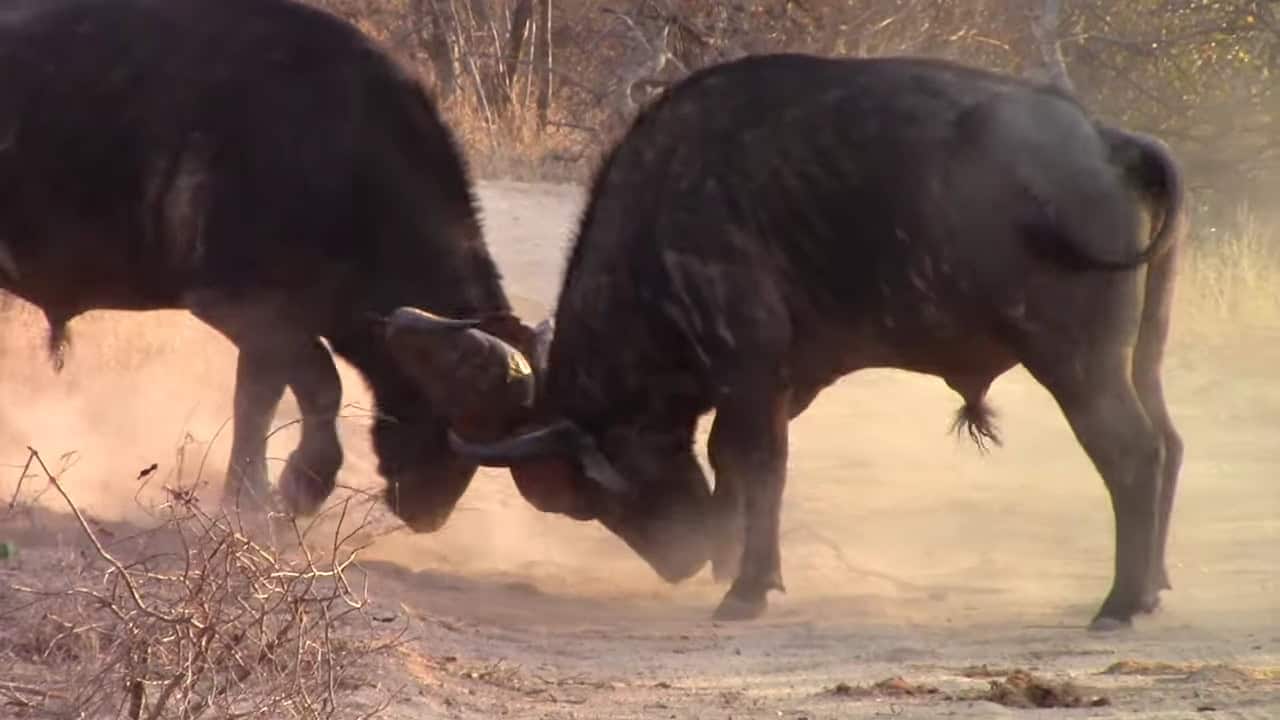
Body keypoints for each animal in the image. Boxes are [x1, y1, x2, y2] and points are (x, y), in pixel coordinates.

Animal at [0, 0, 535, 531]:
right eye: (450, 410)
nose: (430, 510)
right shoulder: (242, 308)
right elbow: (318, 385)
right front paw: (300, 484)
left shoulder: (271, 327)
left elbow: (258, 400)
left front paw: (248, 494)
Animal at [384, 53, 1186, 632]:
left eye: (585, 500)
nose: (678, 562)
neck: (665, 216)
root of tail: (1109, 143)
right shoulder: (788, 379)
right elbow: (729, 459)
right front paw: (729, 558)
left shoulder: (750, 369)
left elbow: (762, 466)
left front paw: (744, 588)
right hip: (1139, 357)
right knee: (1170, 442)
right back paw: (1152, 586)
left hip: (1076, 360)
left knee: (1132, 455)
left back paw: (1119, 603)